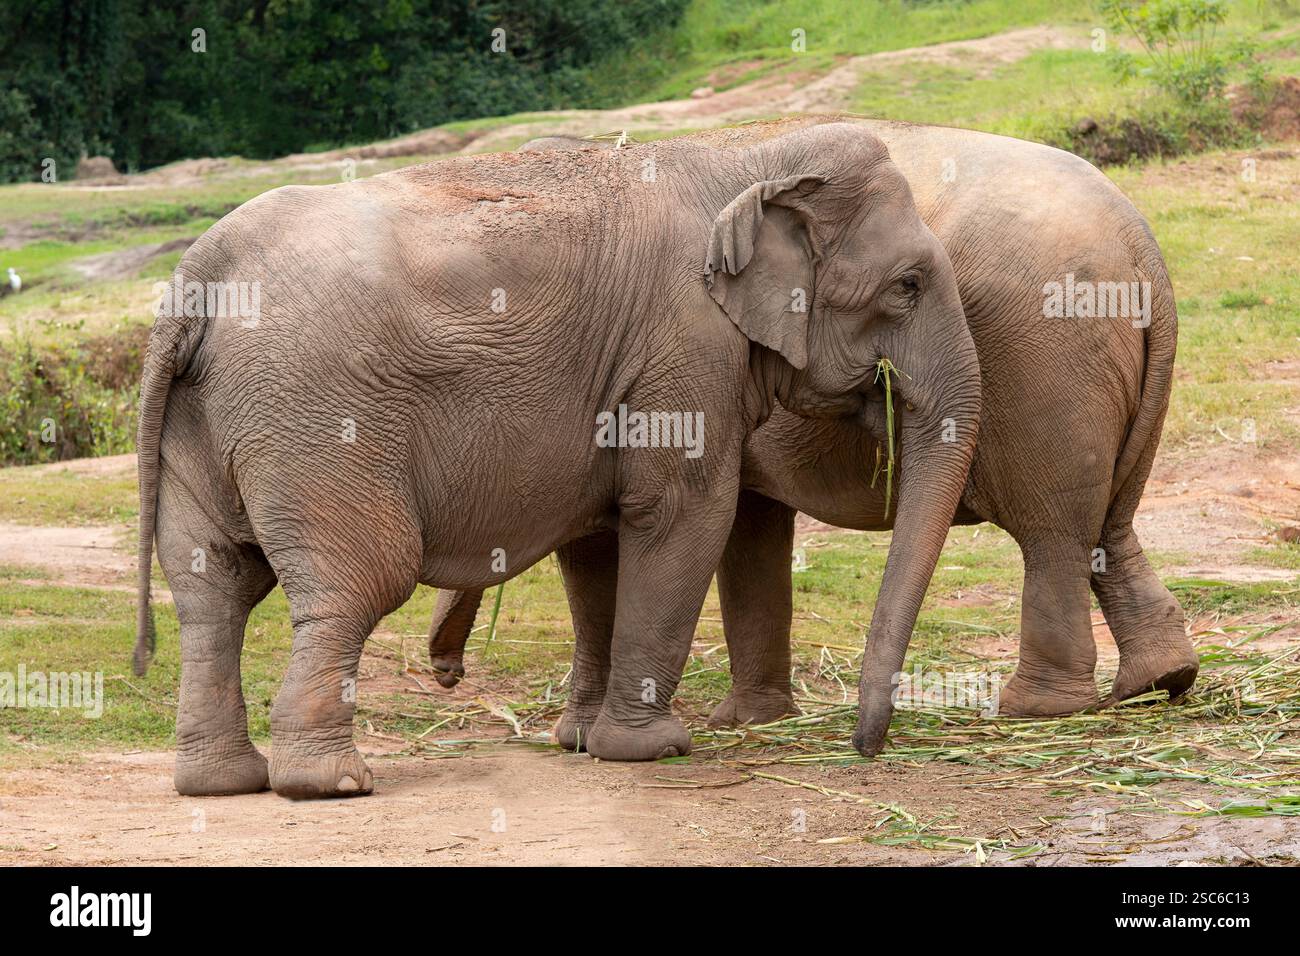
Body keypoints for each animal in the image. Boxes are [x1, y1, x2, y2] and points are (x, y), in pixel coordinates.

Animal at [132, 122, 981, 798]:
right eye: (908, 286)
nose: (865, 747)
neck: (747, 155)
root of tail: (198, 280)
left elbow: (596, 546)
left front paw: (578, 741)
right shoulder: (684, 345)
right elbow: (683, 514)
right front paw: (652, 750)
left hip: (203, 422)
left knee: (215, 587)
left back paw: (219, 784)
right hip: (318, 421)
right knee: (359, 580)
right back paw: (331, 784)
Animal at [429, 115, 1197, 757]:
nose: (446, 668)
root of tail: (1140, 244)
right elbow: (747, 529)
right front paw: (749, 723)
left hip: (1048, 362)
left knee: (1053, 532)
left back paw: (1037, 709)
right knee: (1108, 524)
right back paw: (1161, 681)